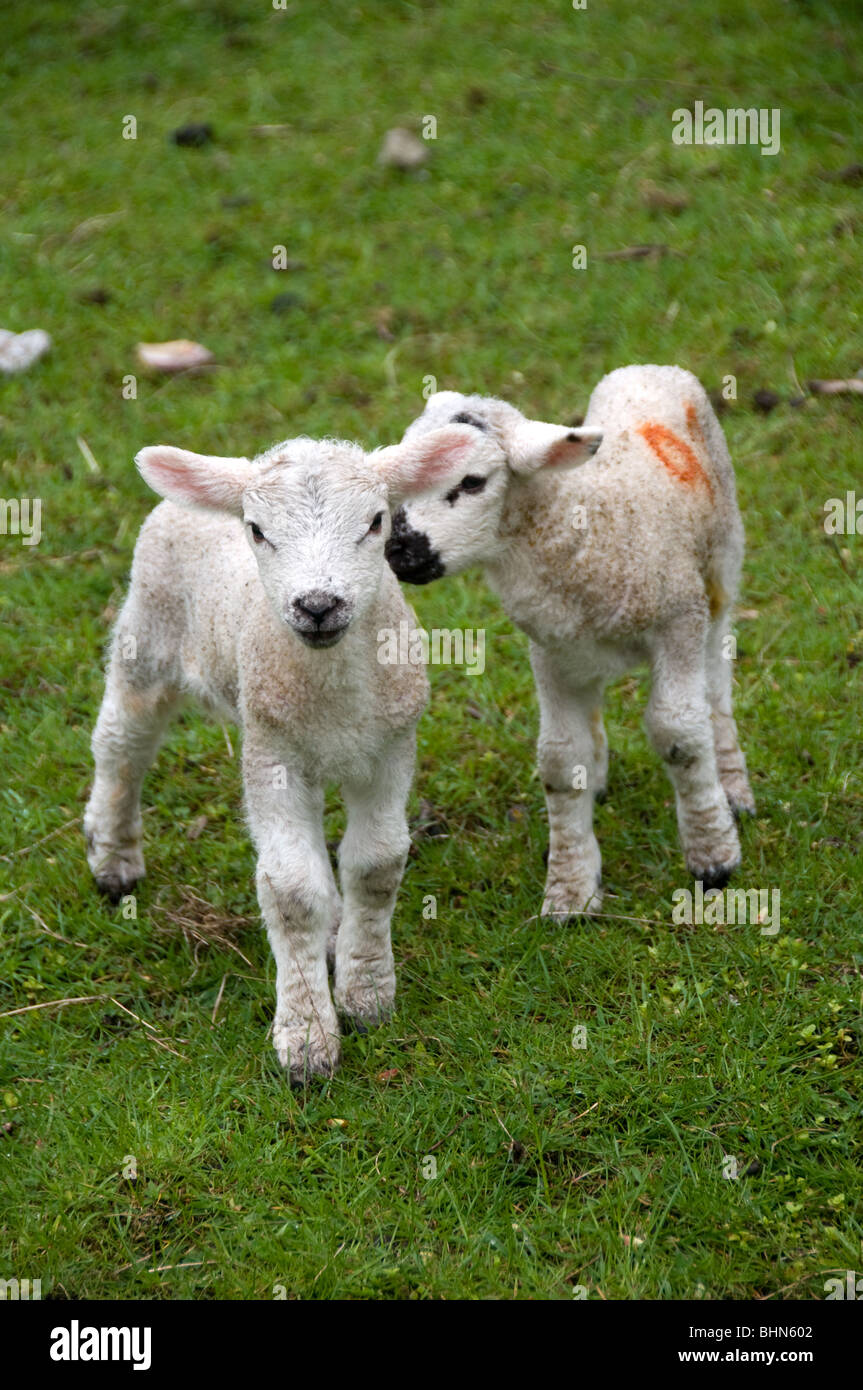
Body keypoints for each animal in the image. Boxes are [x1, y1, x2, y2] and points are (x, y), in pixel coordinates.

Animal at [83, 425, 480, 1081]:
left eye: (376, 521)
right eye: (257, 530)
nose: (317, 605)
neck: (334, 693)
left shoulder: (391, 746)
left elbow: (376, 864)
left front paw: (366, 992)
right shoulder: (272, 756)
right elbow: (291, 891)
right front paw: (306, 1037)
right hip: (148, 635)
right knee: (121, 744)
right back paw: (113, 858)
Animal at [384, 365, 755, 916]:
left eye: (472, 482)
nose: (398, 551)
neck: (583, 520)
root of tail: (648, 368)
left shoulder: (679, 621)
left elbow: (680, 734)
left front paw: (713, 856)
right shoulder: (552, 652)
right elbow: (560, 759)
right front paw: (571, 890)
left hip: (721, 566)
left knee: (717, 682)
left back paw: (732, 786)